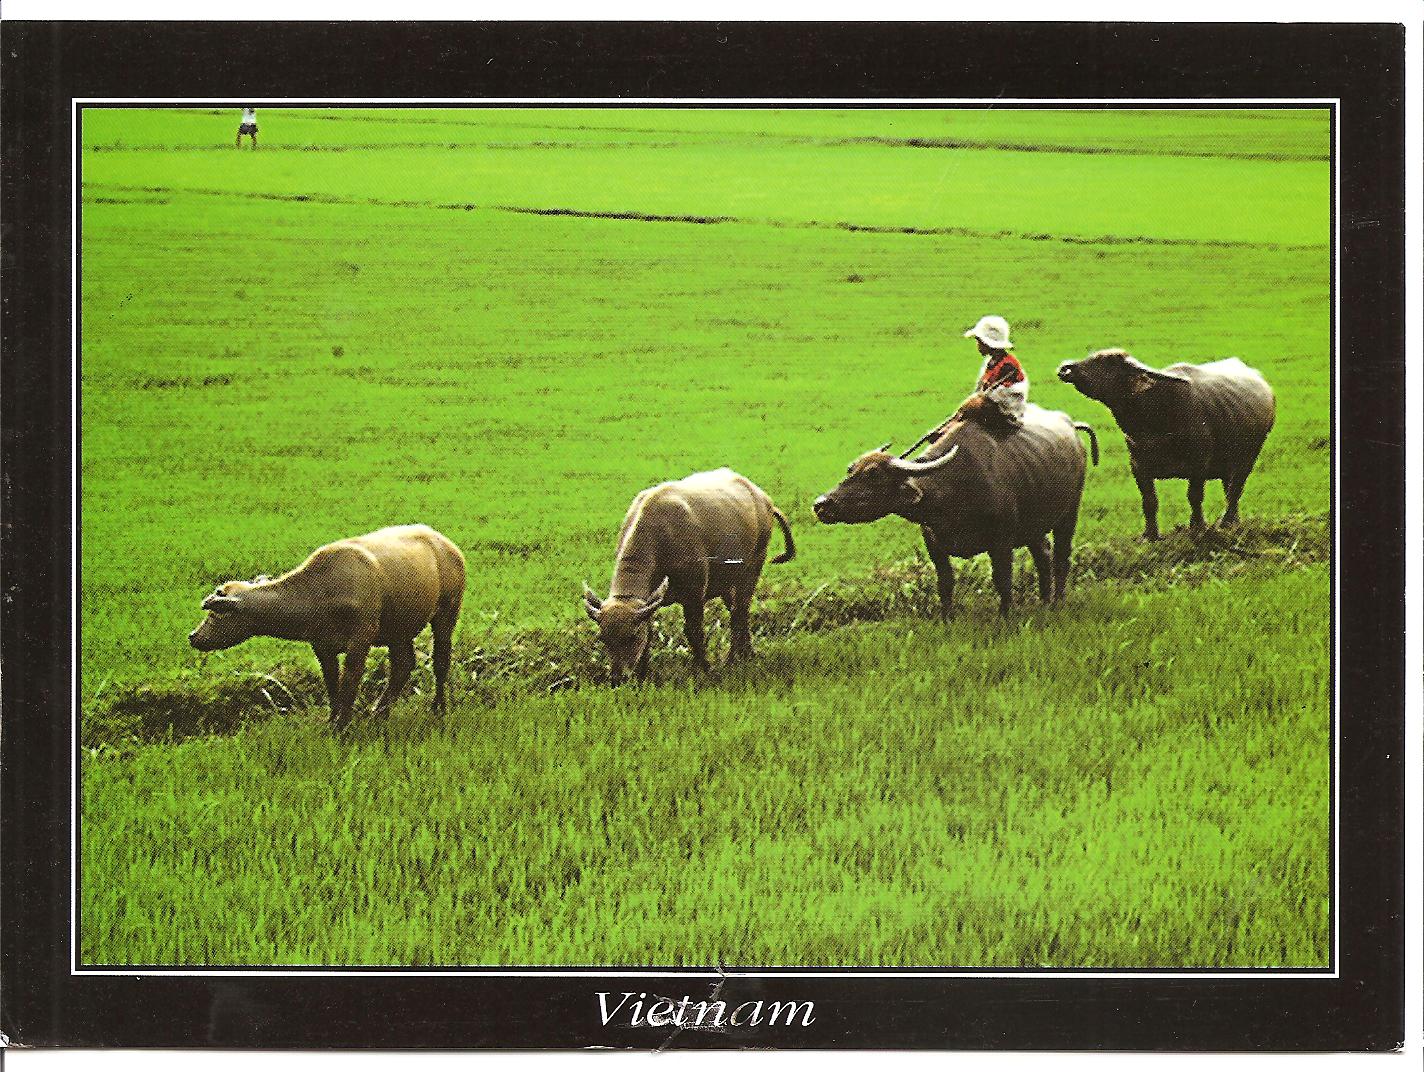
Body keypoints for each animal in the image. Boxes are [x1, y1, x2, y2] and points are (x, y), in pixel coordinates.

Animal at [189, 524, 466, 729]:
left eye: (215, 614)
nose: (193, 636)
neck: (321, 592)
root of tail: (448, 546)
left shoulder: (360, 641)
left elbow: (349, 682)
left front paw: (342, 725)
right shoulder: (322, 645)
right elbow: (332, 682)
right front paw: (333, 720)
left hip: (447, 612)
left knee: (440, 661)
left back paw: (438, 707)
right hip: (399, 628)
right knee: (403, 665)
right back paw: (380, 711)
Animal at [582, 468, 795, 683]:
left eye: (632, 637)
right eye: (603, 638)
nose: (617, 678)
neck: (661, 538)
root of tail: (763, 499)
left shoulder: (694, 594)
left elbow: (693, 631)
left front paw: (704, 668)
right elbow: (649, 632)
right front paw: (642, 674)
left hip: (754, 565)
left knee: (741, 610)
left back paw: (733, 659)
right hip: (728, 580)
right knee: (736, 611)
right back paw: (746, 653)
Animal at [813, 398, 1098, 617]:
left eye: (873, 475)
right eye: (851, 470)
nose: (821, 504)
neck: (950, 491)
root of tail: (1071, 427)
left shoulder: (1001, 541)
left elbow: (1003, 580)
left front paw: (1006, 616)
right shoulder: (934, 544)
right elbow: (945, 583)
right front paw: (947, 619)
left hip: (1069, 512)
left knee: (1061, 556)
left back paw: (1057, 602)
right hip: (1033, 525)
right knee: (1043, 554)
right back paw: (1044, 601)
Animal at [1056, 349, 1275, 540]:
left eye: (1106, 362)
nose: (1066, 368)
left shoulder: (1199, 464)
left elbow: (1194, 496)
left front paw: (1197, 527)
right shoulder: (1138, 466)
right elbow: (1149, 501)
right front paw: (1150, 535)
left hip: (1248, 458)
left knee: (1235, 489)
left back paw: (1226, 522)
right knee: (1229, 488)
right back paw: (1234, 522)